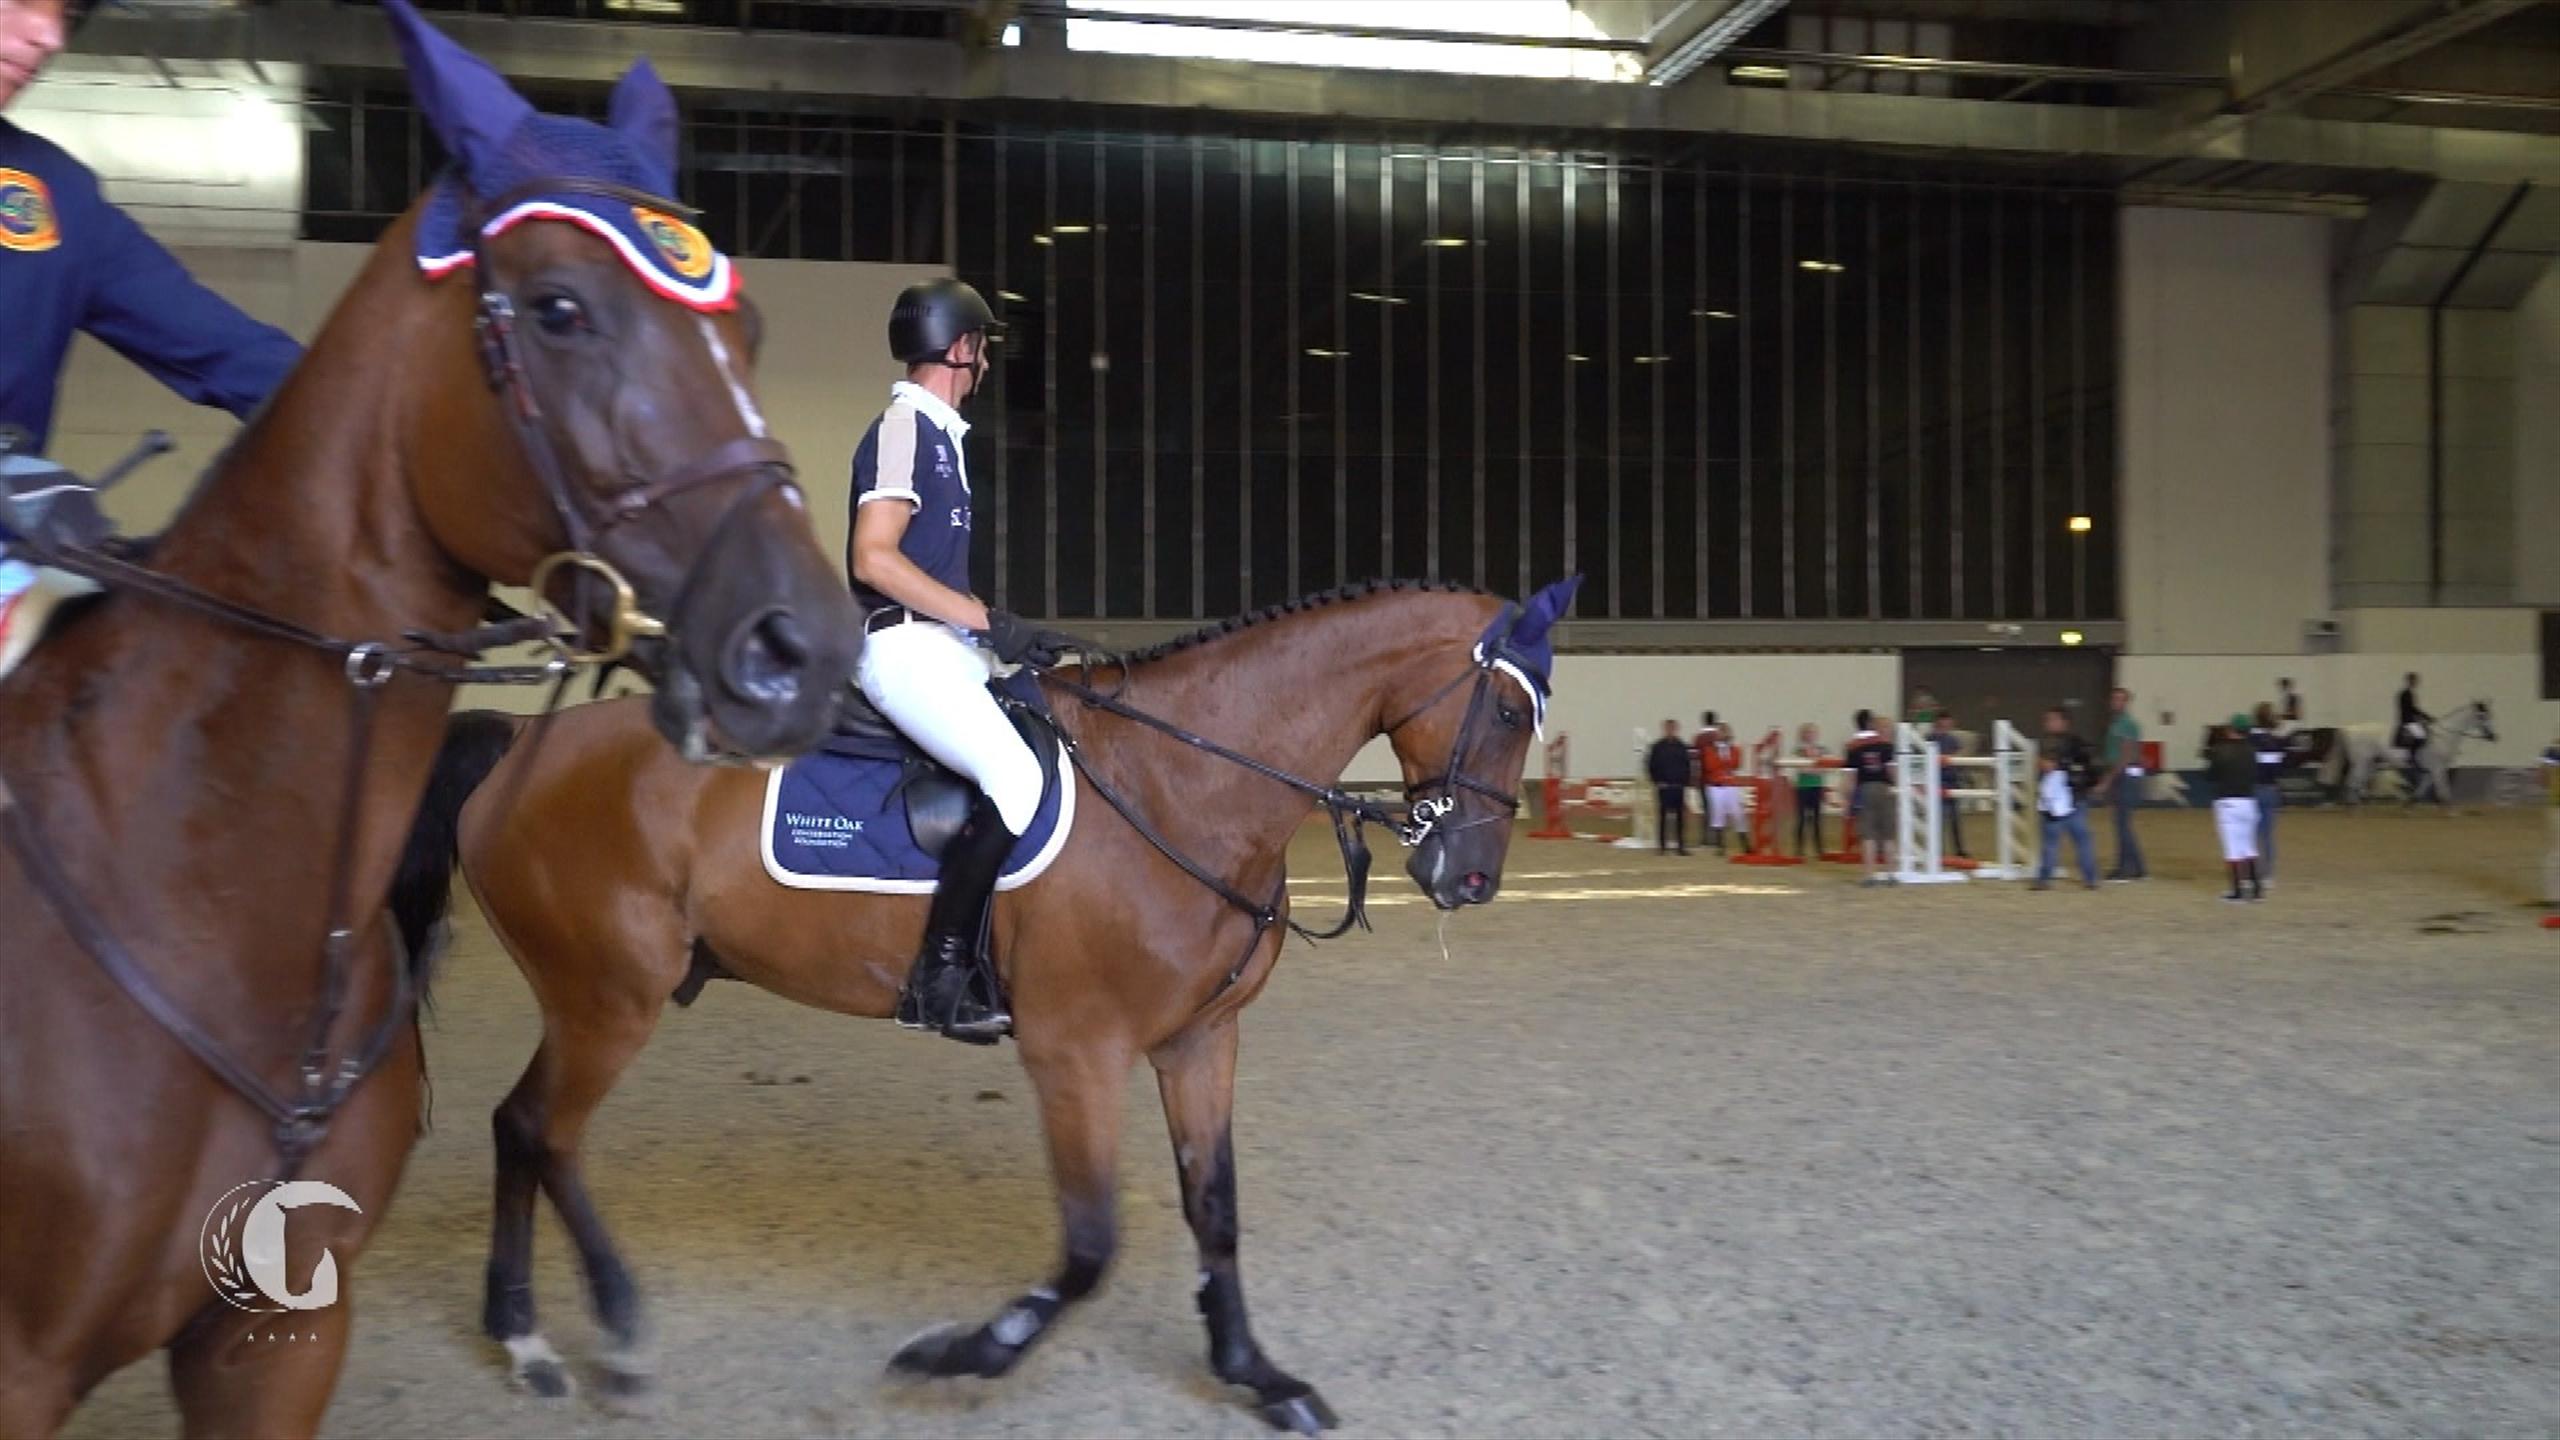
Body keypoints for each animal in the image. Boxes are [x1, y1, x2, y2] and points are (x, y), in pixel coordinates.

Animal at [393, 575, 1578, 1432]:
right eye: (1504, 706)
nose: (1471, 879)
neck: (1183, 786)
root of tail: (522, 745)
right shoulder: (1075, 1050)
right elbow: (1092, 1244)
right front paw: (964, 1352)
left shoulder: (1200, 1039)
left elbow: (1215, 1211)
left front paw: (1256, 1374)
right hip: (609, 997)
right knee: (544, 1131)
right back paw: (612, 1336)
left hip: (594, 997)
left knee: (518, 1128)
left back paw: (526, 1339)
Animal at [2321, 700, 2497, 809]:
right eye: (2482, 716)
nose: (2493, 736)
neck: (2444, 736)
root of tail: (2349, 728)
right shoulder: (2438, 768)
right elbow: (2443, 789)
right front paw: (2451, 810)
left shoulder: (2430, 770)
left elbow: (2423, 787)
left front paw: (2409, 804)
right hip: (2361, 762)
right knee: (2352, 782)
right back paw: (2354, 806)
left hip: (2369, 763)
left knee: (2357, 783)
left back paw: (2357, 803)